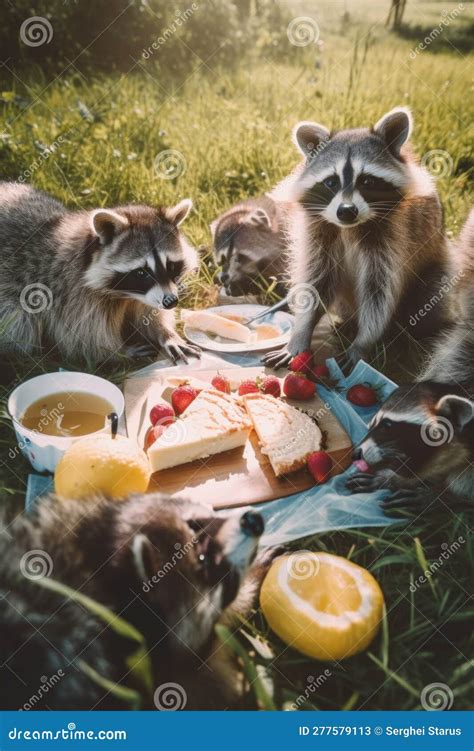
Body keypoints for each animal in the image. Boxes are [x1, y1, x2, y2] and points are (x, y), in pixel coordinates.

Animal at [0, 182, 201, 364]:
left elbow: (150, 314)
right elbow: (83, 337)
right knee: (20, 324)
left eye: (171, 266)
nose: (171, 302)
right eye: (141, 272)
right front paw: (117, 352)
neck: (126, 295)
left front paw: (166, 334)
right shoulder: (70, 292)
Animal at [264, 107, 453, 370]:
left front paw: (363, 341)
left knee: (433, 288)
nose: (346, 211)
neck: (349, 227)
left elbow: (379, 291)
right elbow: (316, 281)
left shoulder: (396, 235)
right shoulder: (317, 232)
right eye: (331, 182)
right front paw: (301, 333)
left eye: (367, 181)